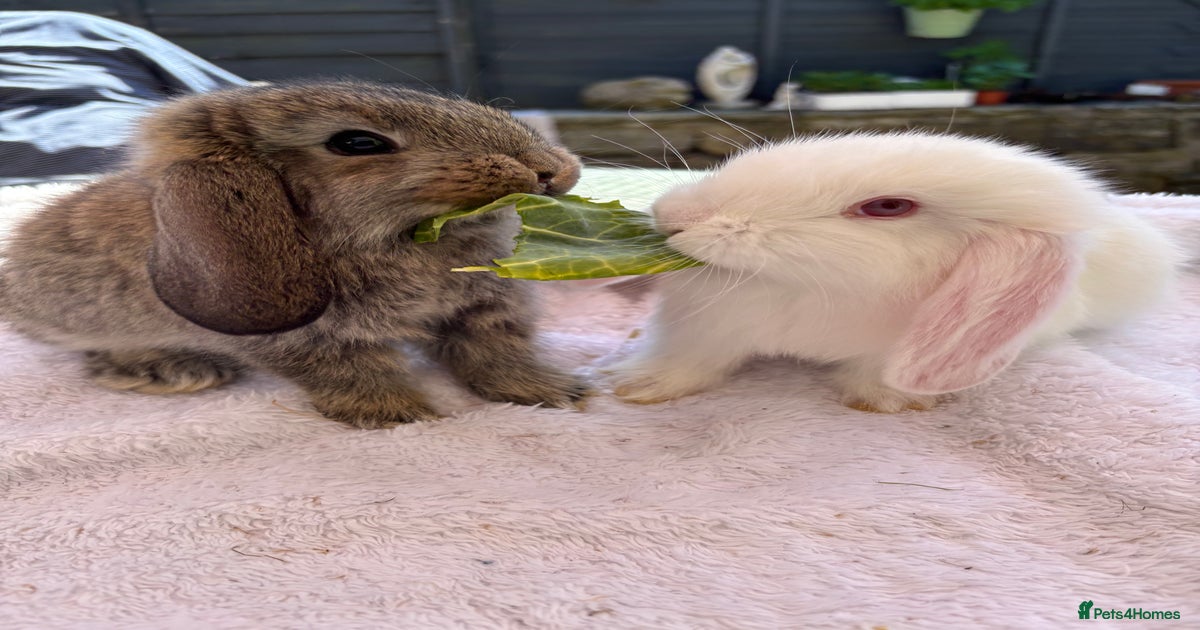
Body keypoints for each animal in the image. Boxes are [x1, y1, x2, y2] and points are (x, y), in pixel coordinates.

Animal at [0, 80, 589, 428]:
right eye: (357, 143)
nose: (551, 169)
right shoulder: (306, 340)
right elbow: (353, 372)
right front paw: (400, 415)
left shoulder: (484, 311)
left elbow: (495, 354)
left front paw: (554, 394)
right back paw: (172, 371)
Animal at [607, 131, 1180, 412]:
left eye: (887, 207)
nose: (673, 214)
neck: (809, 295)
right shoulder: (707, 327)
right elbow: (692, 360)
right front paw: (637, 386)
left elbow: (877, 372)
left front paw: (887, 402)